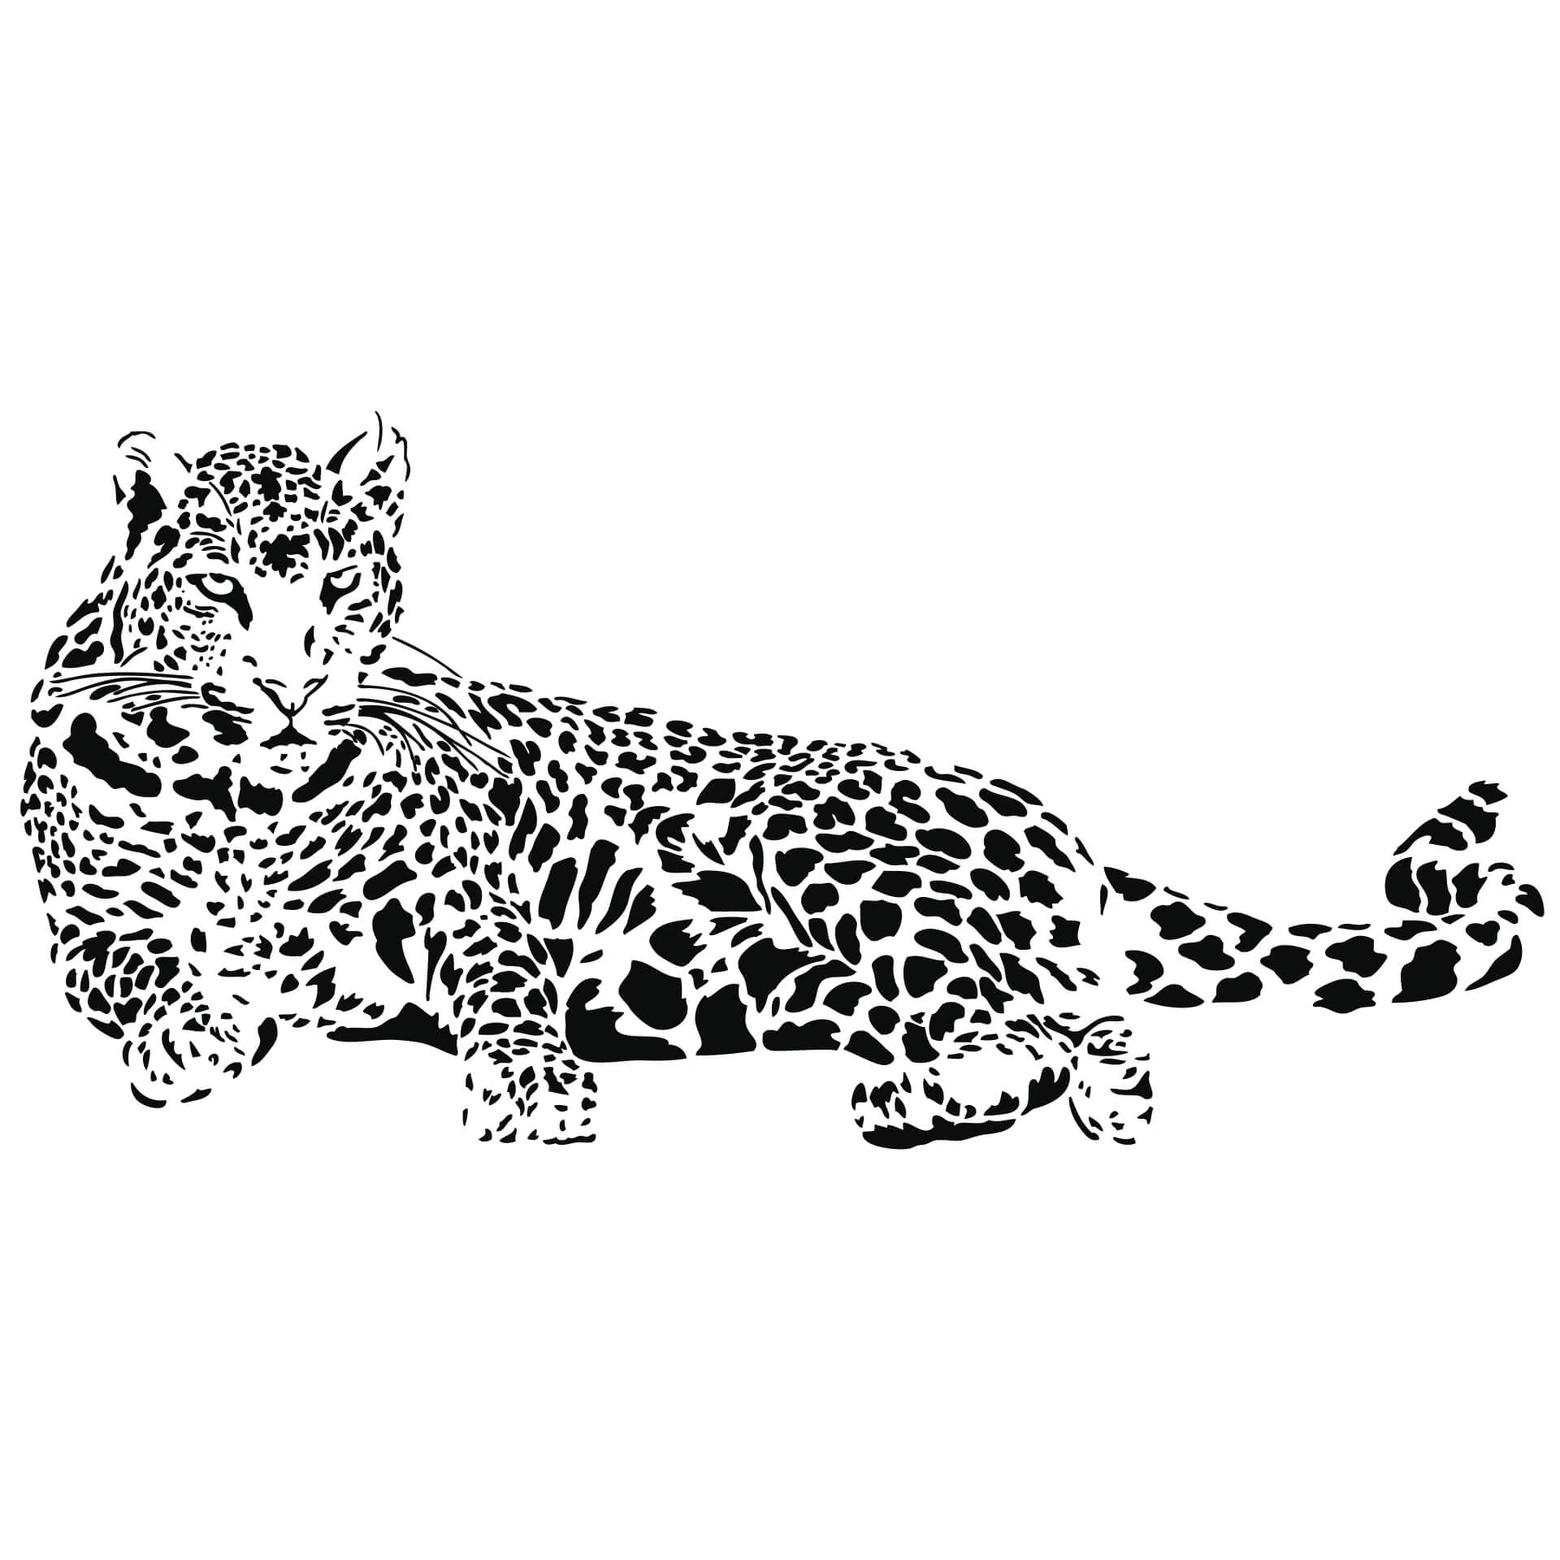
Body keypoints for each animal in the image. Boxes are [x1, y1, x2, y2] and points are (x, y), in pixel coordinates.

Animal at [21, 419, 1545, 1146]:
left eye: (340, 588)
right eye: (223, 591)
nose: (295, 685)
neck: (241, 791)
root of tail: (1063, 822)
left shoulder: (469, 905)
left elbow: (504, 989)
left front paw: (530, 1090)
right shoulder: (87, 932)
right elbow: (146, 965)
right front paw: (193, 1033)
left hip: (829, 854)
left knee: (1063, 1030)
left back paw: (936, 1111)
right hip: (744, 972)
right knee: (1061, 1033)